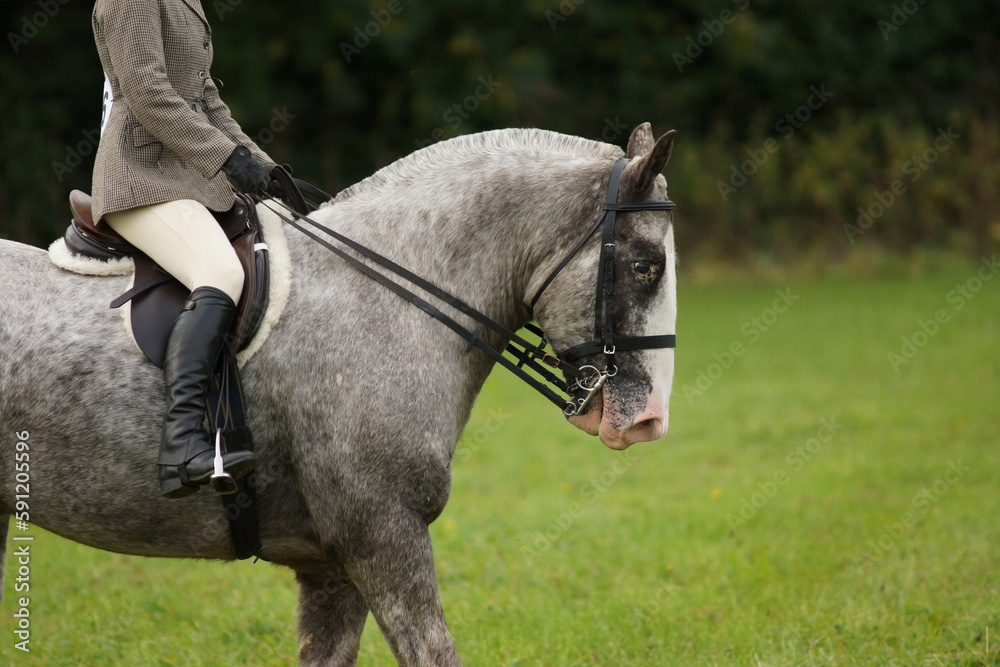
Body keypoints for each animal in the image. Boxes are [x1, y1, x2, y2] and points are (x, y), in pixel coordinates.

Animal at [0, 122, 677, 665]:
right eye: (647, 265)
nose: (648, 421)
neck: (385, 296)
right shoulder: (381, 536)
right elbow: (433, 654)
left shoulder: (330, 564)